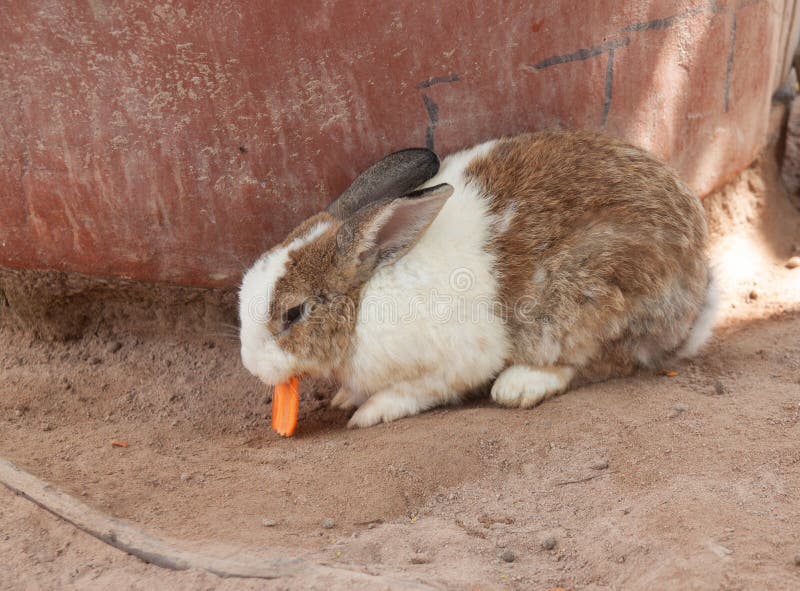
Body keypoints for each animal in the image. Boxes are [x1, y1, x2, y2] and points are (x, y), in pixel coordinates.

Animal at [239, 130, 717, 428]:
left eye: (294, 312)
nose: (252, 366)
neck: (363, 298)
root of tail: (696, 281)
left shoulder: (447, 366)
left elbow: (410, 393)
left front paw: (368, 412)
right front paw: (344, 397)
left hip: (592, 296)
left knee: (596, 360)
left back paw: (518, 386)